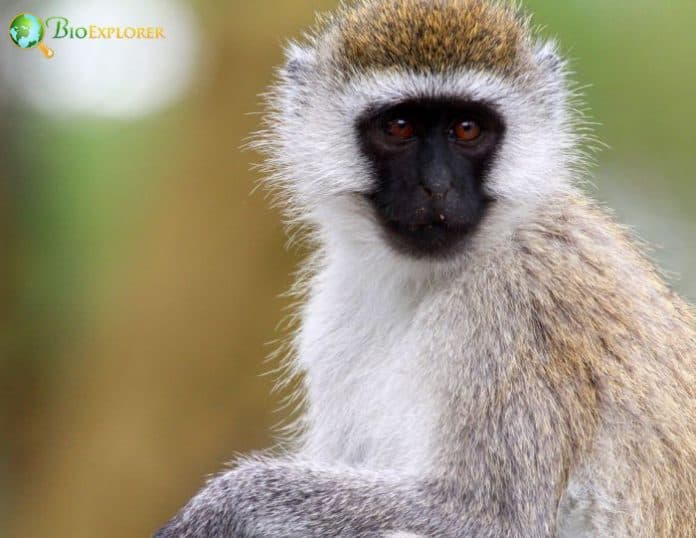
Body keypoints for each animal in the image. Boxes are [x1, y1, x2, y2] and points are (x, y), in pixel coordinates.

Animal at [155, 0, 696, 536]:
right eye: (399, 127)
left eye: (467, 129)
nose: (436, 187)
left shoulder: (526, 304)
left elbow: (488, 515)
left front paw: (225, 503)